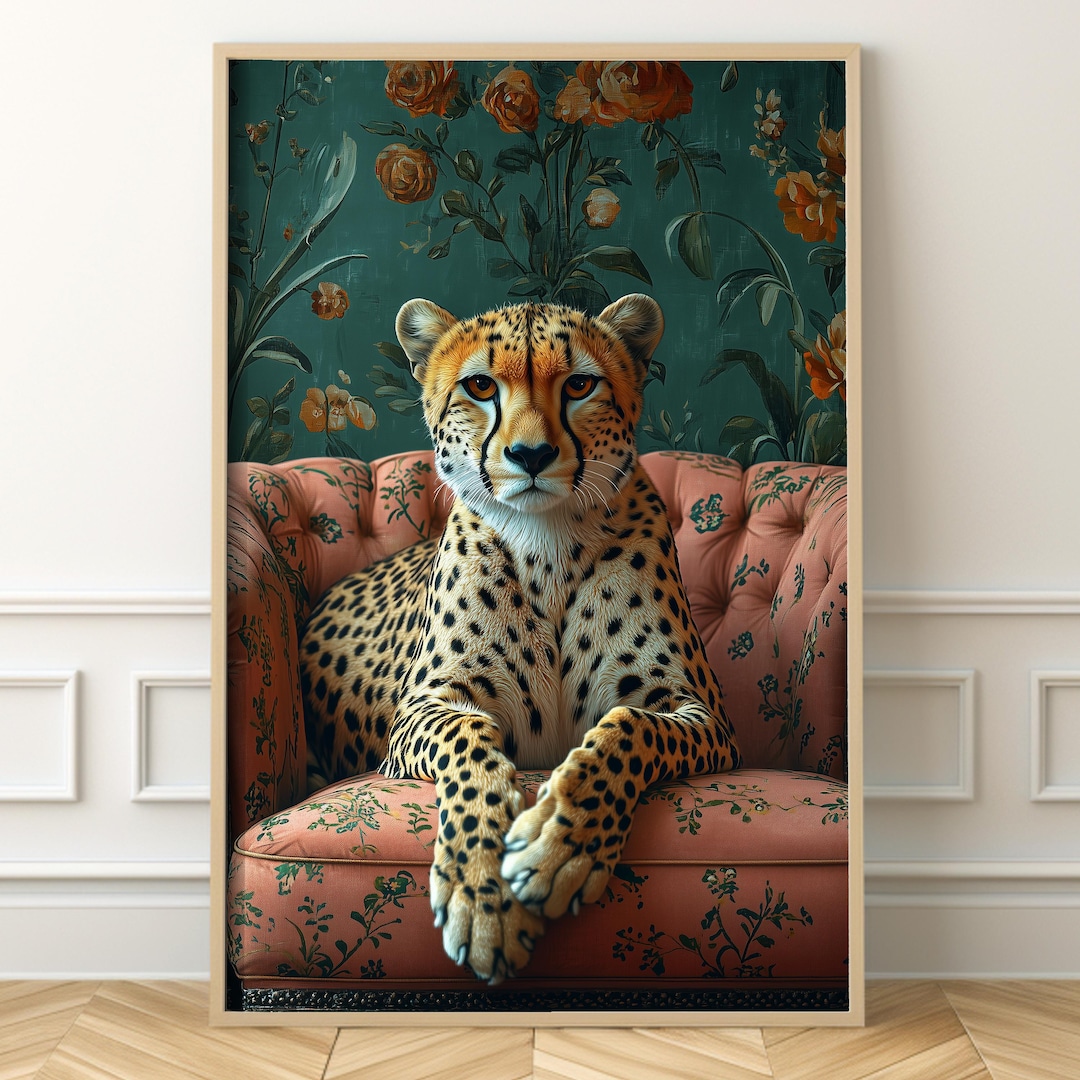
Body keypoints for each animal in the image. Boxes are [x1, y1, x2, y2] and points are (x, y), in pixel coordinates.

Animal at [299, 293, 742, 984]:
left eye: (580, 384)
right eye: (481, 386)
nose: (530, 455)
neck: (548, 543)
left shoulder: (699, 713)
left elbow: (626, 728)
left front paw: (558, 846)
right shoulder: (425, 708)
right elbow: (468, 742)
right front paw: (480, 893)